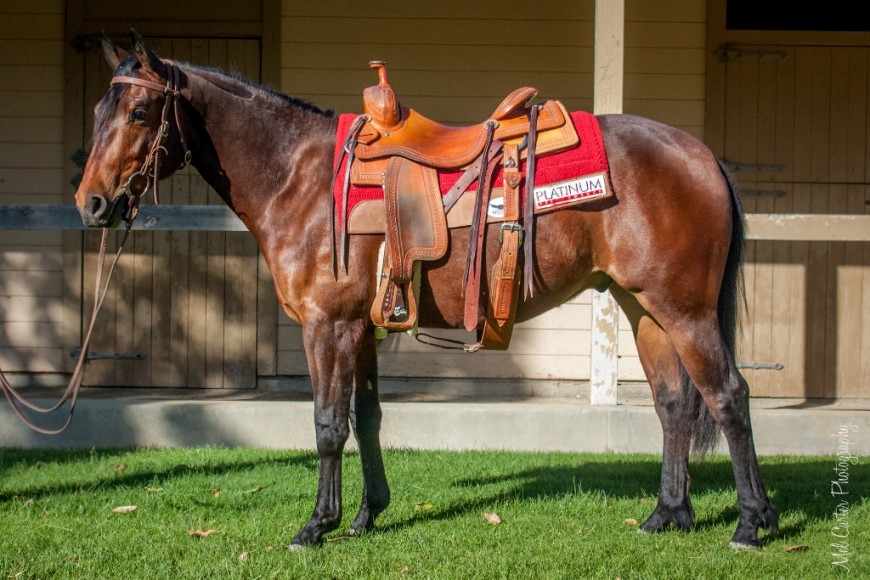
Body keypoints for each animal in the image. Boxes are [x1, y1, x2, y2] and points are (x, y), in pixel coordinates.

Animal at [75, 31, 778, 550]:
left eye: (139, 112)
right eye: (99, 111)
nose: (92, 203)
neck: (299, 177)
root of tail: (704, 157)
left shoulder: (327, 325)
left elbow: (327, 423)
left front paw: (317, 525)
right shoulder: (361, 327)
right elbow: (366, 417)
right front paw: (366, 515)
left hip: (685, 310)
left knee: (728, 396)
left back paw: (751, 522)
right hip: (644, 308)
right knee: (674, 405)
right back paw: (667, 515)